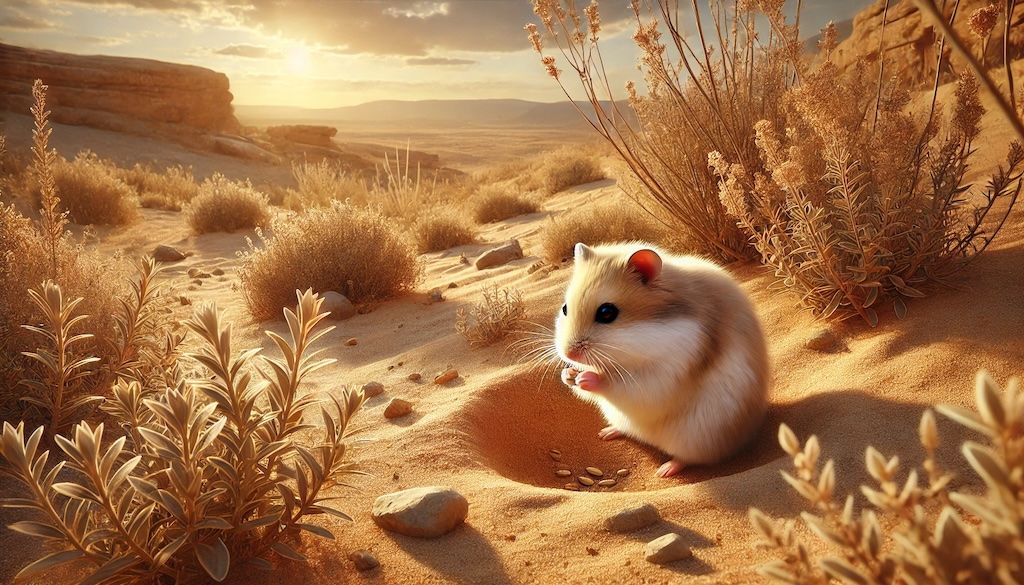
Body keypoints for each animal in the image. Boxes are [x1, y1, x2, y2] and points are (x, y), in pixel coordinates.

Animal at [555, 242, 770, 477]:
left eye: (606, 312)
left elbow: (616, 385)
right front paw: (568, 375)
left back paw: (665, 470)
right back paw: (606, 433)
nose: (568, 353)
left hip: (693, 438)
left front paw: (585, 378)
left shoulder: (659, 377)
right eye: (564, 308)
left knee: (687, 458)